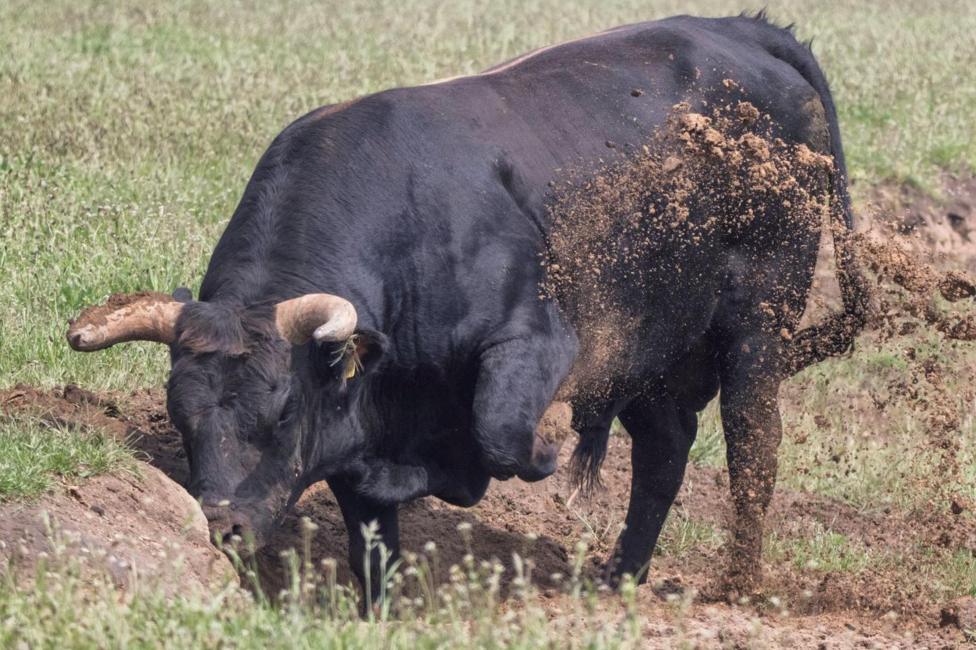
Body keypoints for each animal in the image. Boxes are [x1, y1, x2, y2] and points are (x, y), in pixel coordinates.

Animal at [67, 13, 868, 601]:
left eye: (283, 412)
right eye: (180, 415)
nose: (224, 527)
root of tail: (744, 30)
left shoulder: (536, 343)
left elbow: (500, 431)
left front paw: (546, 444)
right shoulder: (361, 432)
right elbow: (371, 542)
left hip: (757, 324)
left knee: (753, 445)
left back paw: (738, 583)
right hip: (652, 347)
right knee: (665, 447)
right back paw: (620, 574)